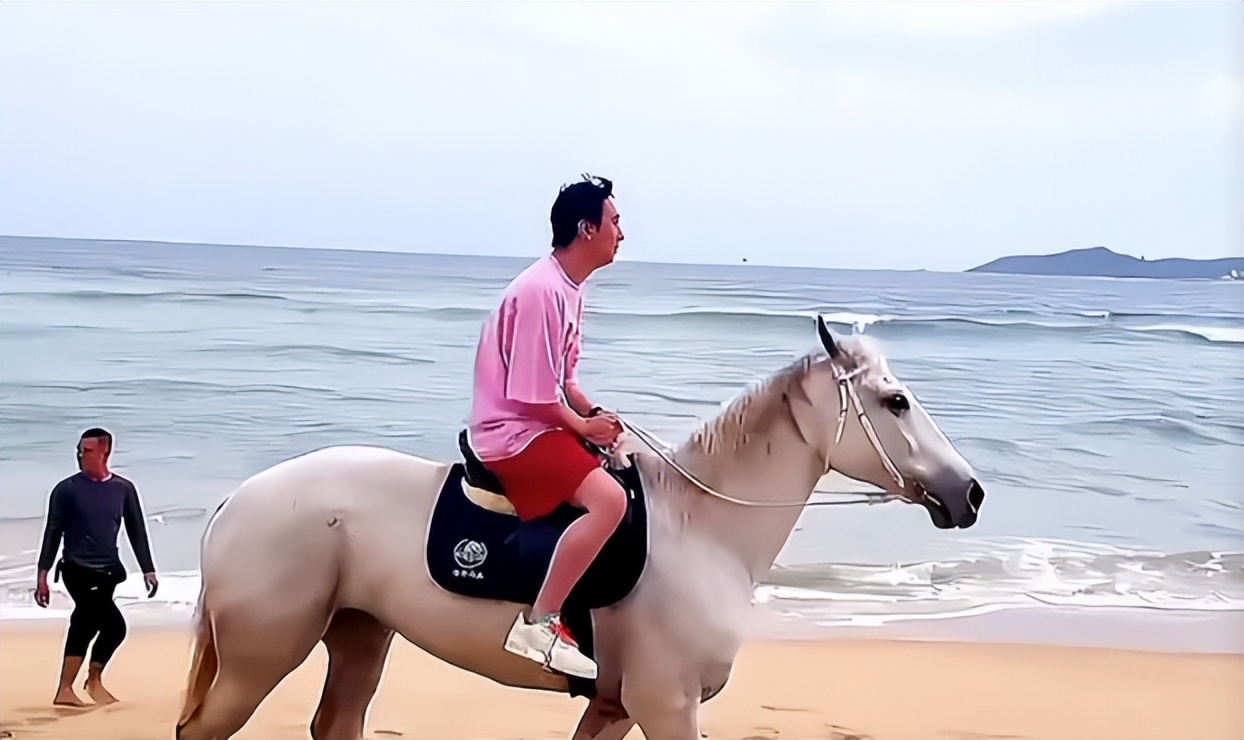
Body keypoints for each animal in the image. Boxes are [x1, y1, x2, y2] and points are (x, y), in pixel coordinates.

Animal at [175, 317, 985, 740]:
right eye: (896, 401)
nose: (969, 493)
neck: (702, 531)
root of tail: (238, 501)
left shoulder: (614, 706)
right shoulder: (666, 707)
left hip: (359, 637)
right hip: (259, 658)